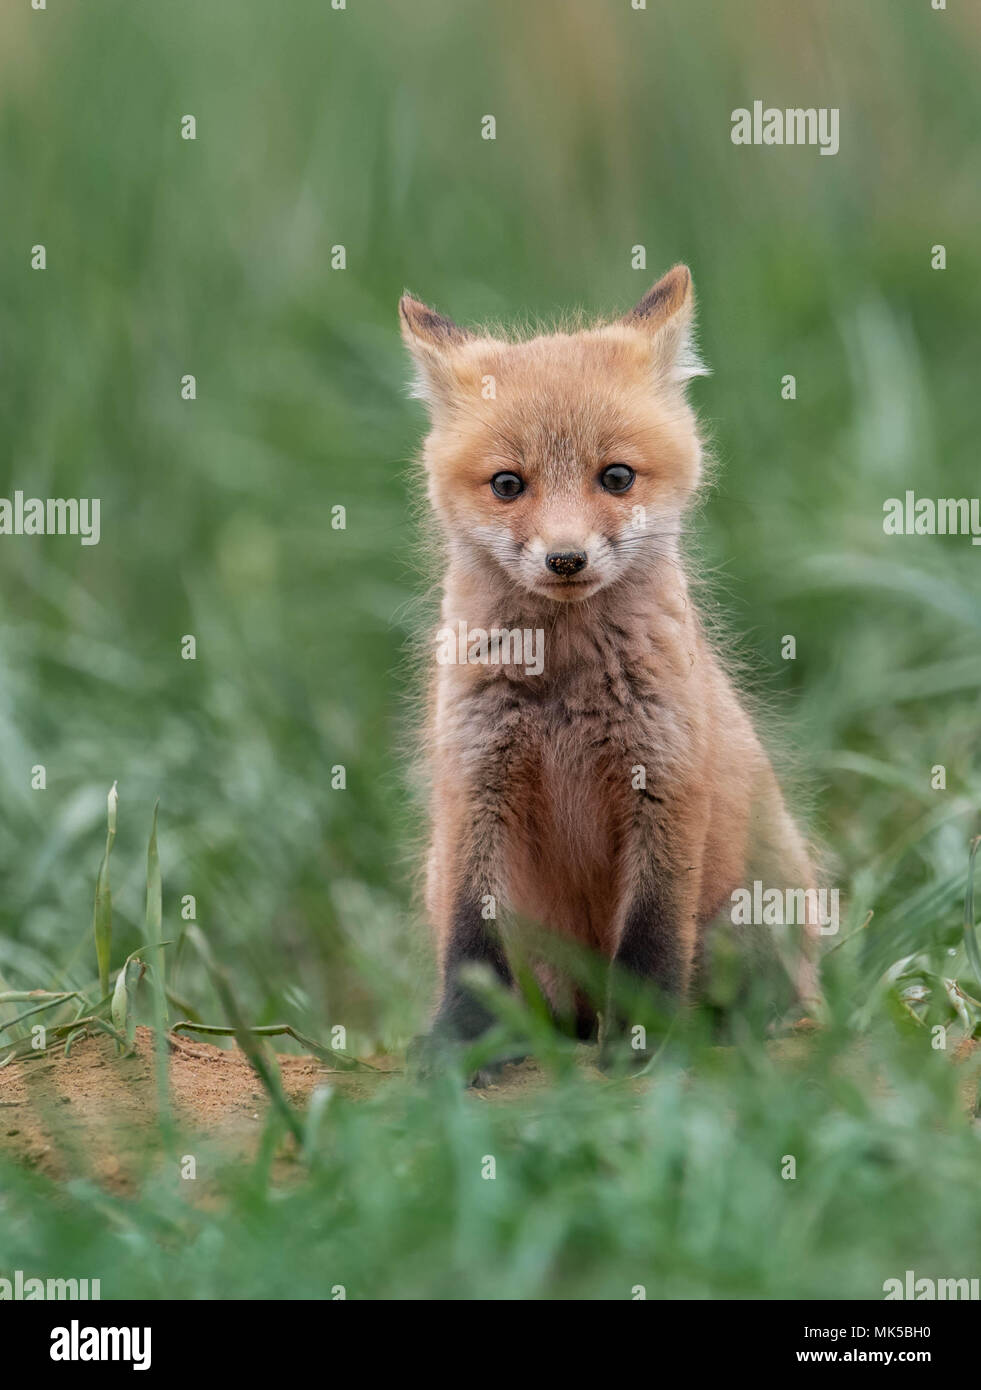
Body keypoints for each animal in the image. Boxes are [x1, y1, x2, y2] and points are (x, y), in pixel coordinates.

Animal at [401, 265, 822, 1069]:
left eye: (617, 477)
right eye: (508, 485)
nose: (566, 559)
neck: (563, 682)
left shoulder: (664, 782)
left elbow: (651, 939)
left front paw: (640, 1047)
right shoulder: (474, 785)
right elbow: (471, 944)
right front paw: (462, 1045)